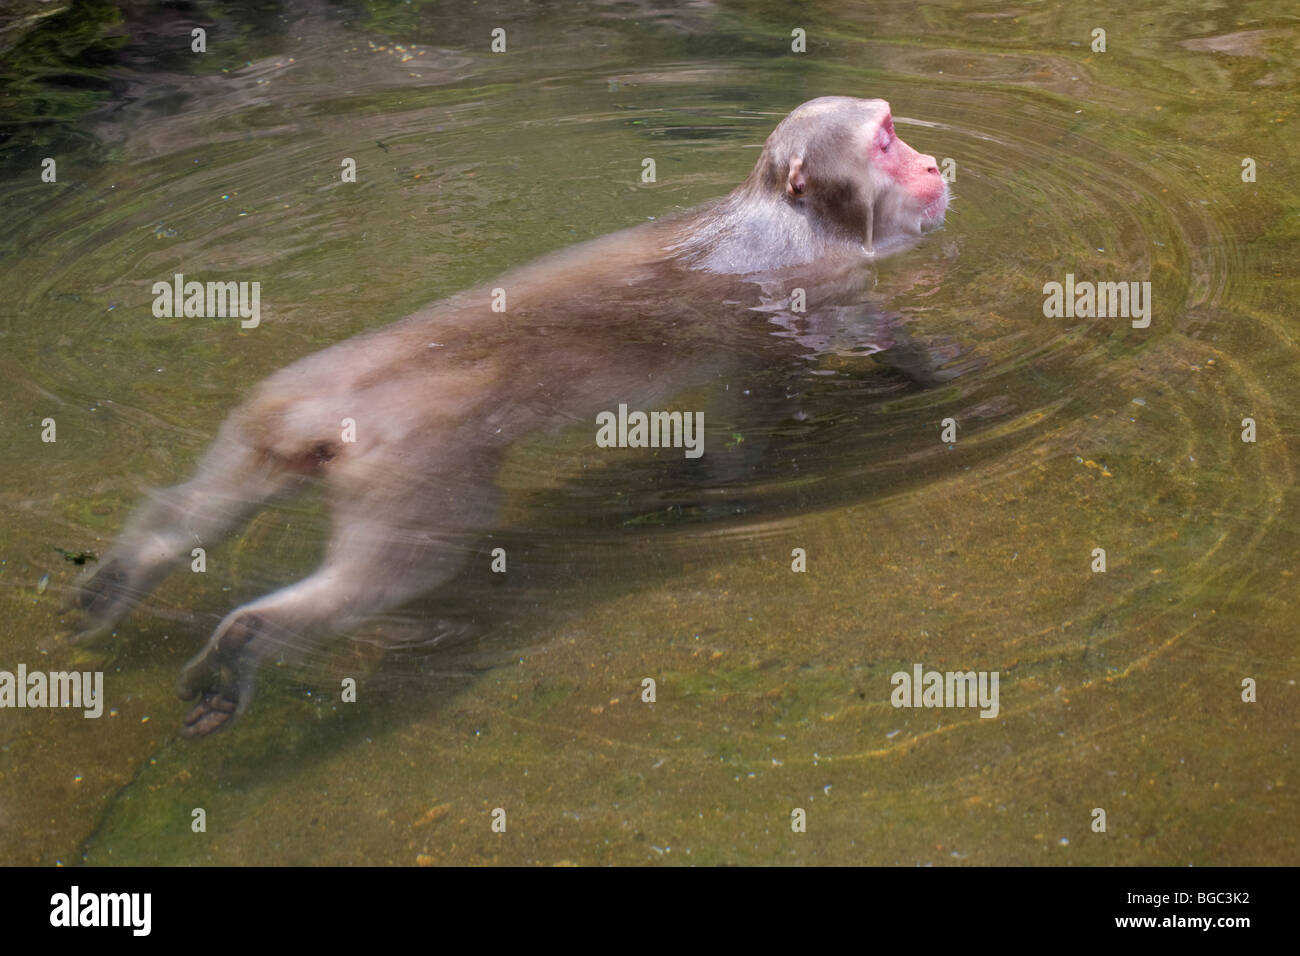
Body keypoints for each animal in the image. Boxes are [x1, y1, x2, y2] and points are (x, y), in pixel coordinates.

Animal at [71, 96, 949, 737]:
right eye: (885, 140)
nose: (933, 163)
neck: (797, 214)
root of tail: (329, 411)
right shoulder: (820, 285)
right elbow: (771, 387)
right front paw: (933, 378)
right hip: (419, 472)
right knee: (393, 573)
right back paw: (240, 646)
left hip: (272, 407)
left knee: (206, 502)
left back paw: (124, 574)